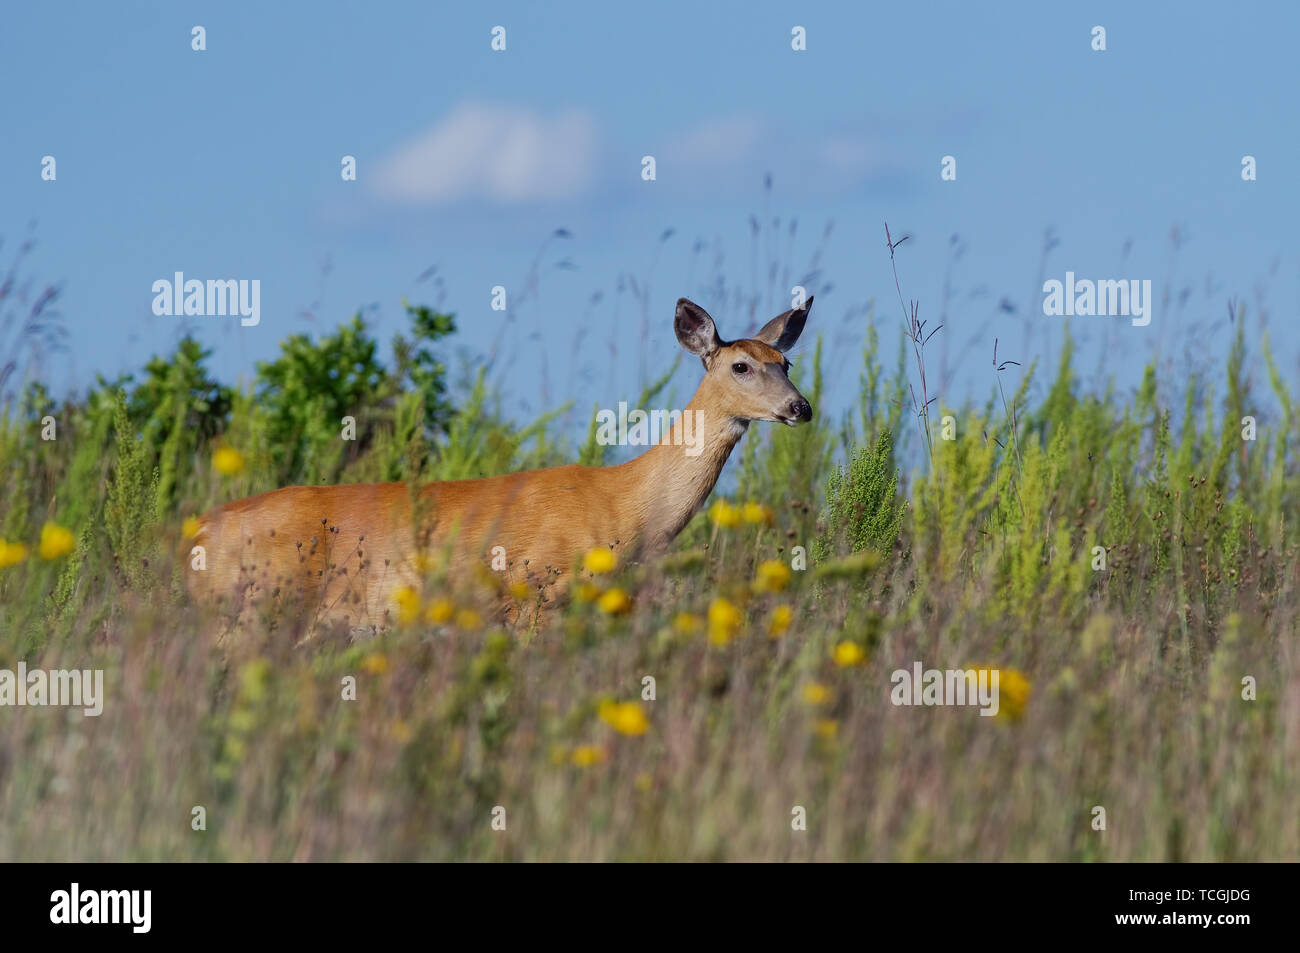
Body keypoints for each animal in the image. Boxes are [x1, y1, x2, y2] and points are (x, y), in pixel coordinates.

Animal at [184, 296, 813, 637]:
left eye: (785, 362)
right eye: (739, 366)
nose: (800, 407)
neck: (627, 507)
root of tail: (200, 530)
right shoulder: (533, 599)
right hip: (249, 611)